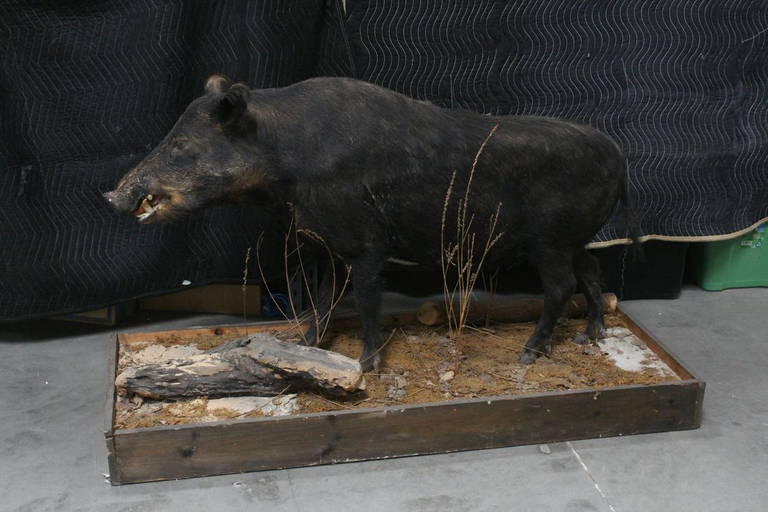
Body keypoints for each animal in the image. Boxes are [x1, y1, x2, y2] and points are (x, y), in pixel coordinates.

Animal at [104, 74, 639, 371]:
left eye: (180, 144)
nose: (111, 194)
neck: (286, 165)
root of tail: (619, 157)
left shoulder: (365, 241)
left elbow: (364, 299)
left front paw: (368, 365)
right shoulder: (322, 242)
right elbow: (322, 298)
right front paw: (305, 344)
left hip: (551, 237)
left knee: (561, 285)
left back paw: (529, 353)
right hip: (575, 237)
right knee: (592, 272)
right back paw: (593, 335)